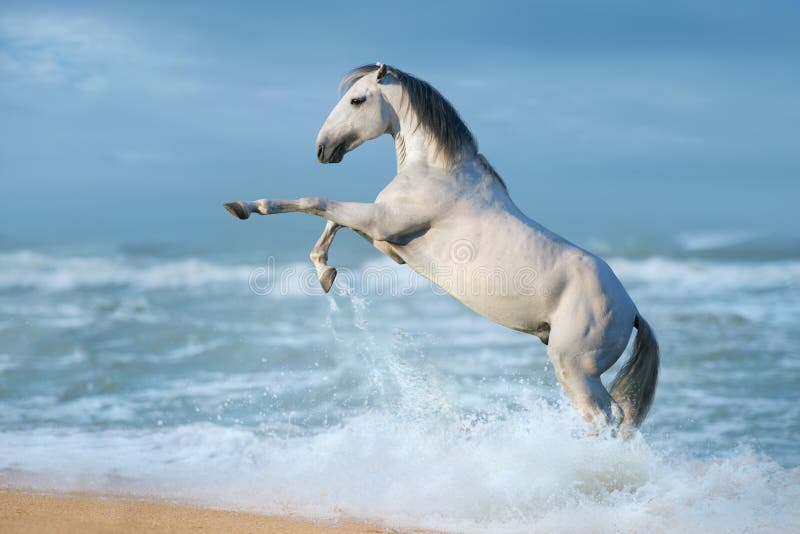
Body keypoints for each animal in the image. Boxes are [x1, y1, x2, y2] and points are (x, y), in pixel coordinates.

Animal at [224, 63, 659, 432]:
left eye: (357, 100)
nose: (322, 149)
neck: (436, 172)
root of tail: (631, 309)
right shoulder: (385, 237)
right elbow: (332, 218)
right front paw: (325, 272)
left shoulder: (381, 221)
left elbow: (314, 201)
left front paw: (245, 207)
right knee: (617, 417)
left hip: (575, 370)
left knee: (604, 419)